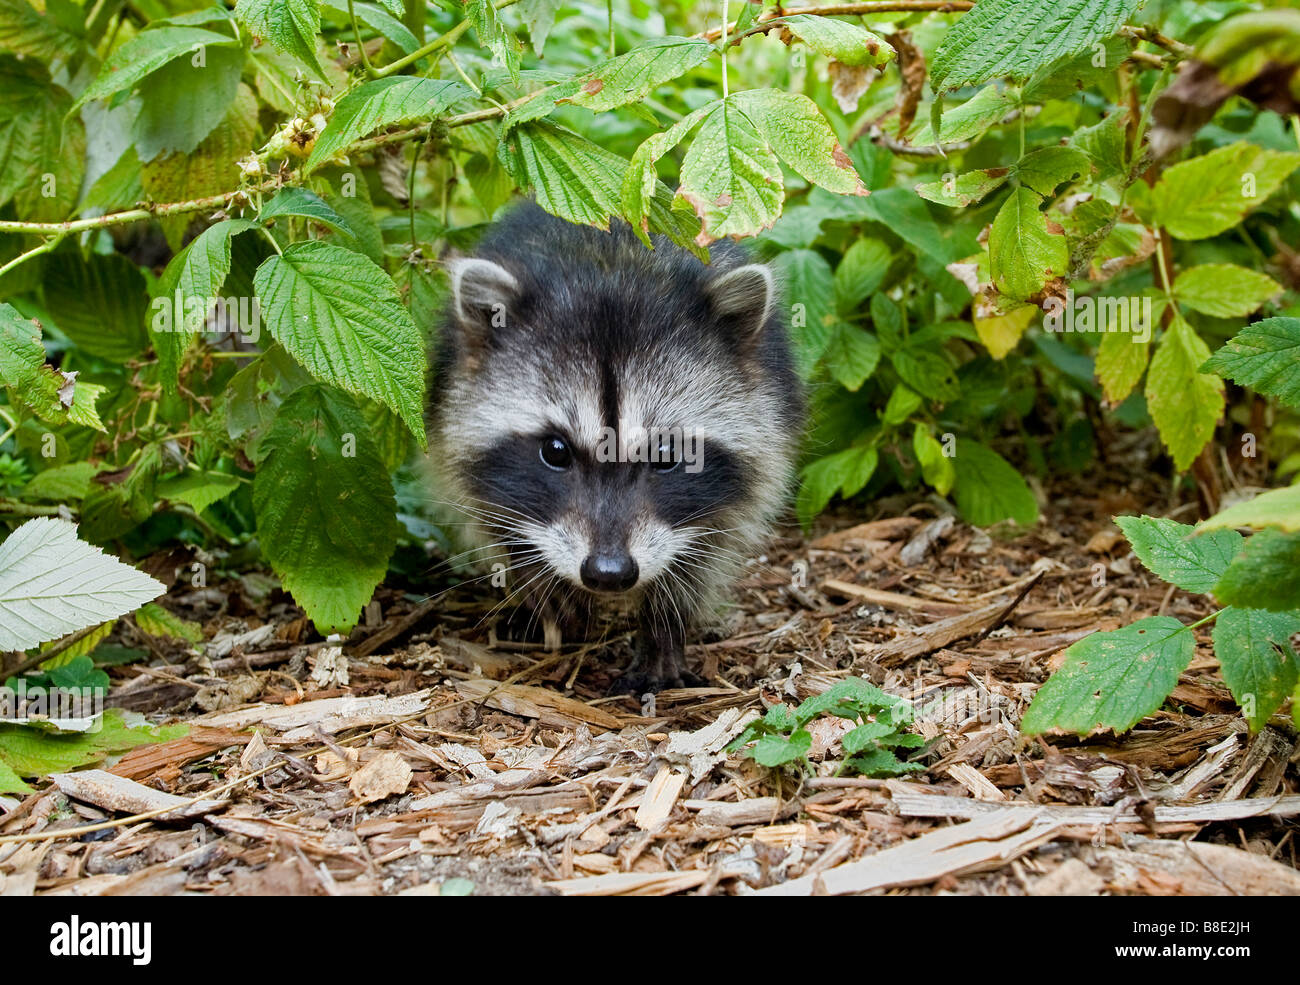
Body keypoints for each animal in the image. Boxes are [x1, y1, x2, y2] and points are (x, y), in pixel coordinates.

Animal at [429, 202, 803, 694]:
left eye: (666, 455)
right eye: (555, 451)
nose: (609, 573)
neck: (614, 273)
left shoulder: (760, 446)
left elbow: (710, 549)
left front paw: (664, 625)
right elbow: (487, 511)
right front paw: (535, 577)